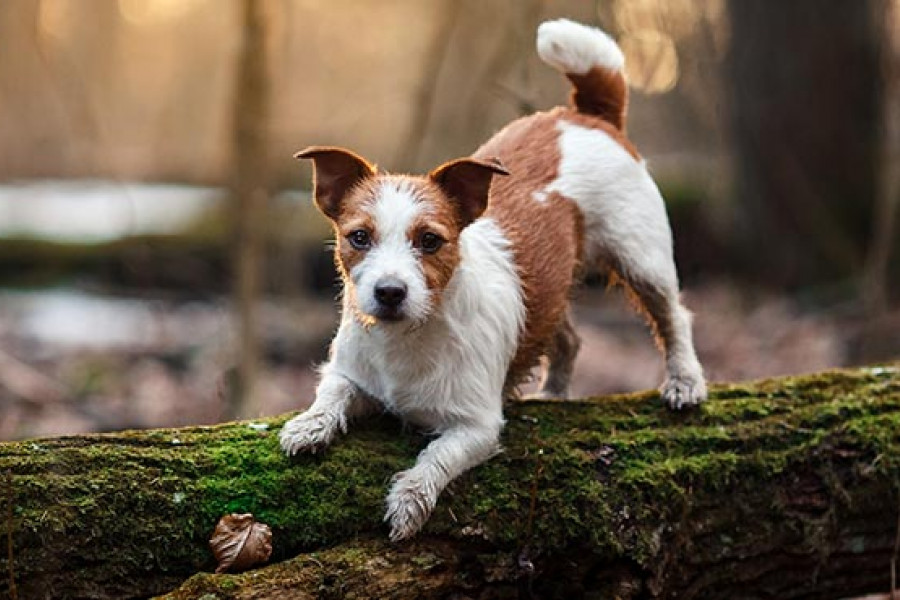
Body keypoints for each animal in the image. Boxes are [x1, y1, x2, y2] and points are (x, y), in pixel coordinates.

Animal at [278, 18, 708, 540]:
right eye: (359, 237)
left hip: (641, 257)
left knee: (673, 316)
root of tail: (586, 116)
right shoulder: (350, 375)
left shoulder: (476, 427)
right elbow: (332, 393)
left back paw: (684, 381)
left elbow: (437, 456)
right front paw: (310, 426)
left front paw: (409, 500)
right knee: (568, 338)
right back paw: (554, 394)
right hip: (551, 287)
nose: (389, 292)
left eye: (430, 241)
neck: (410, 338)